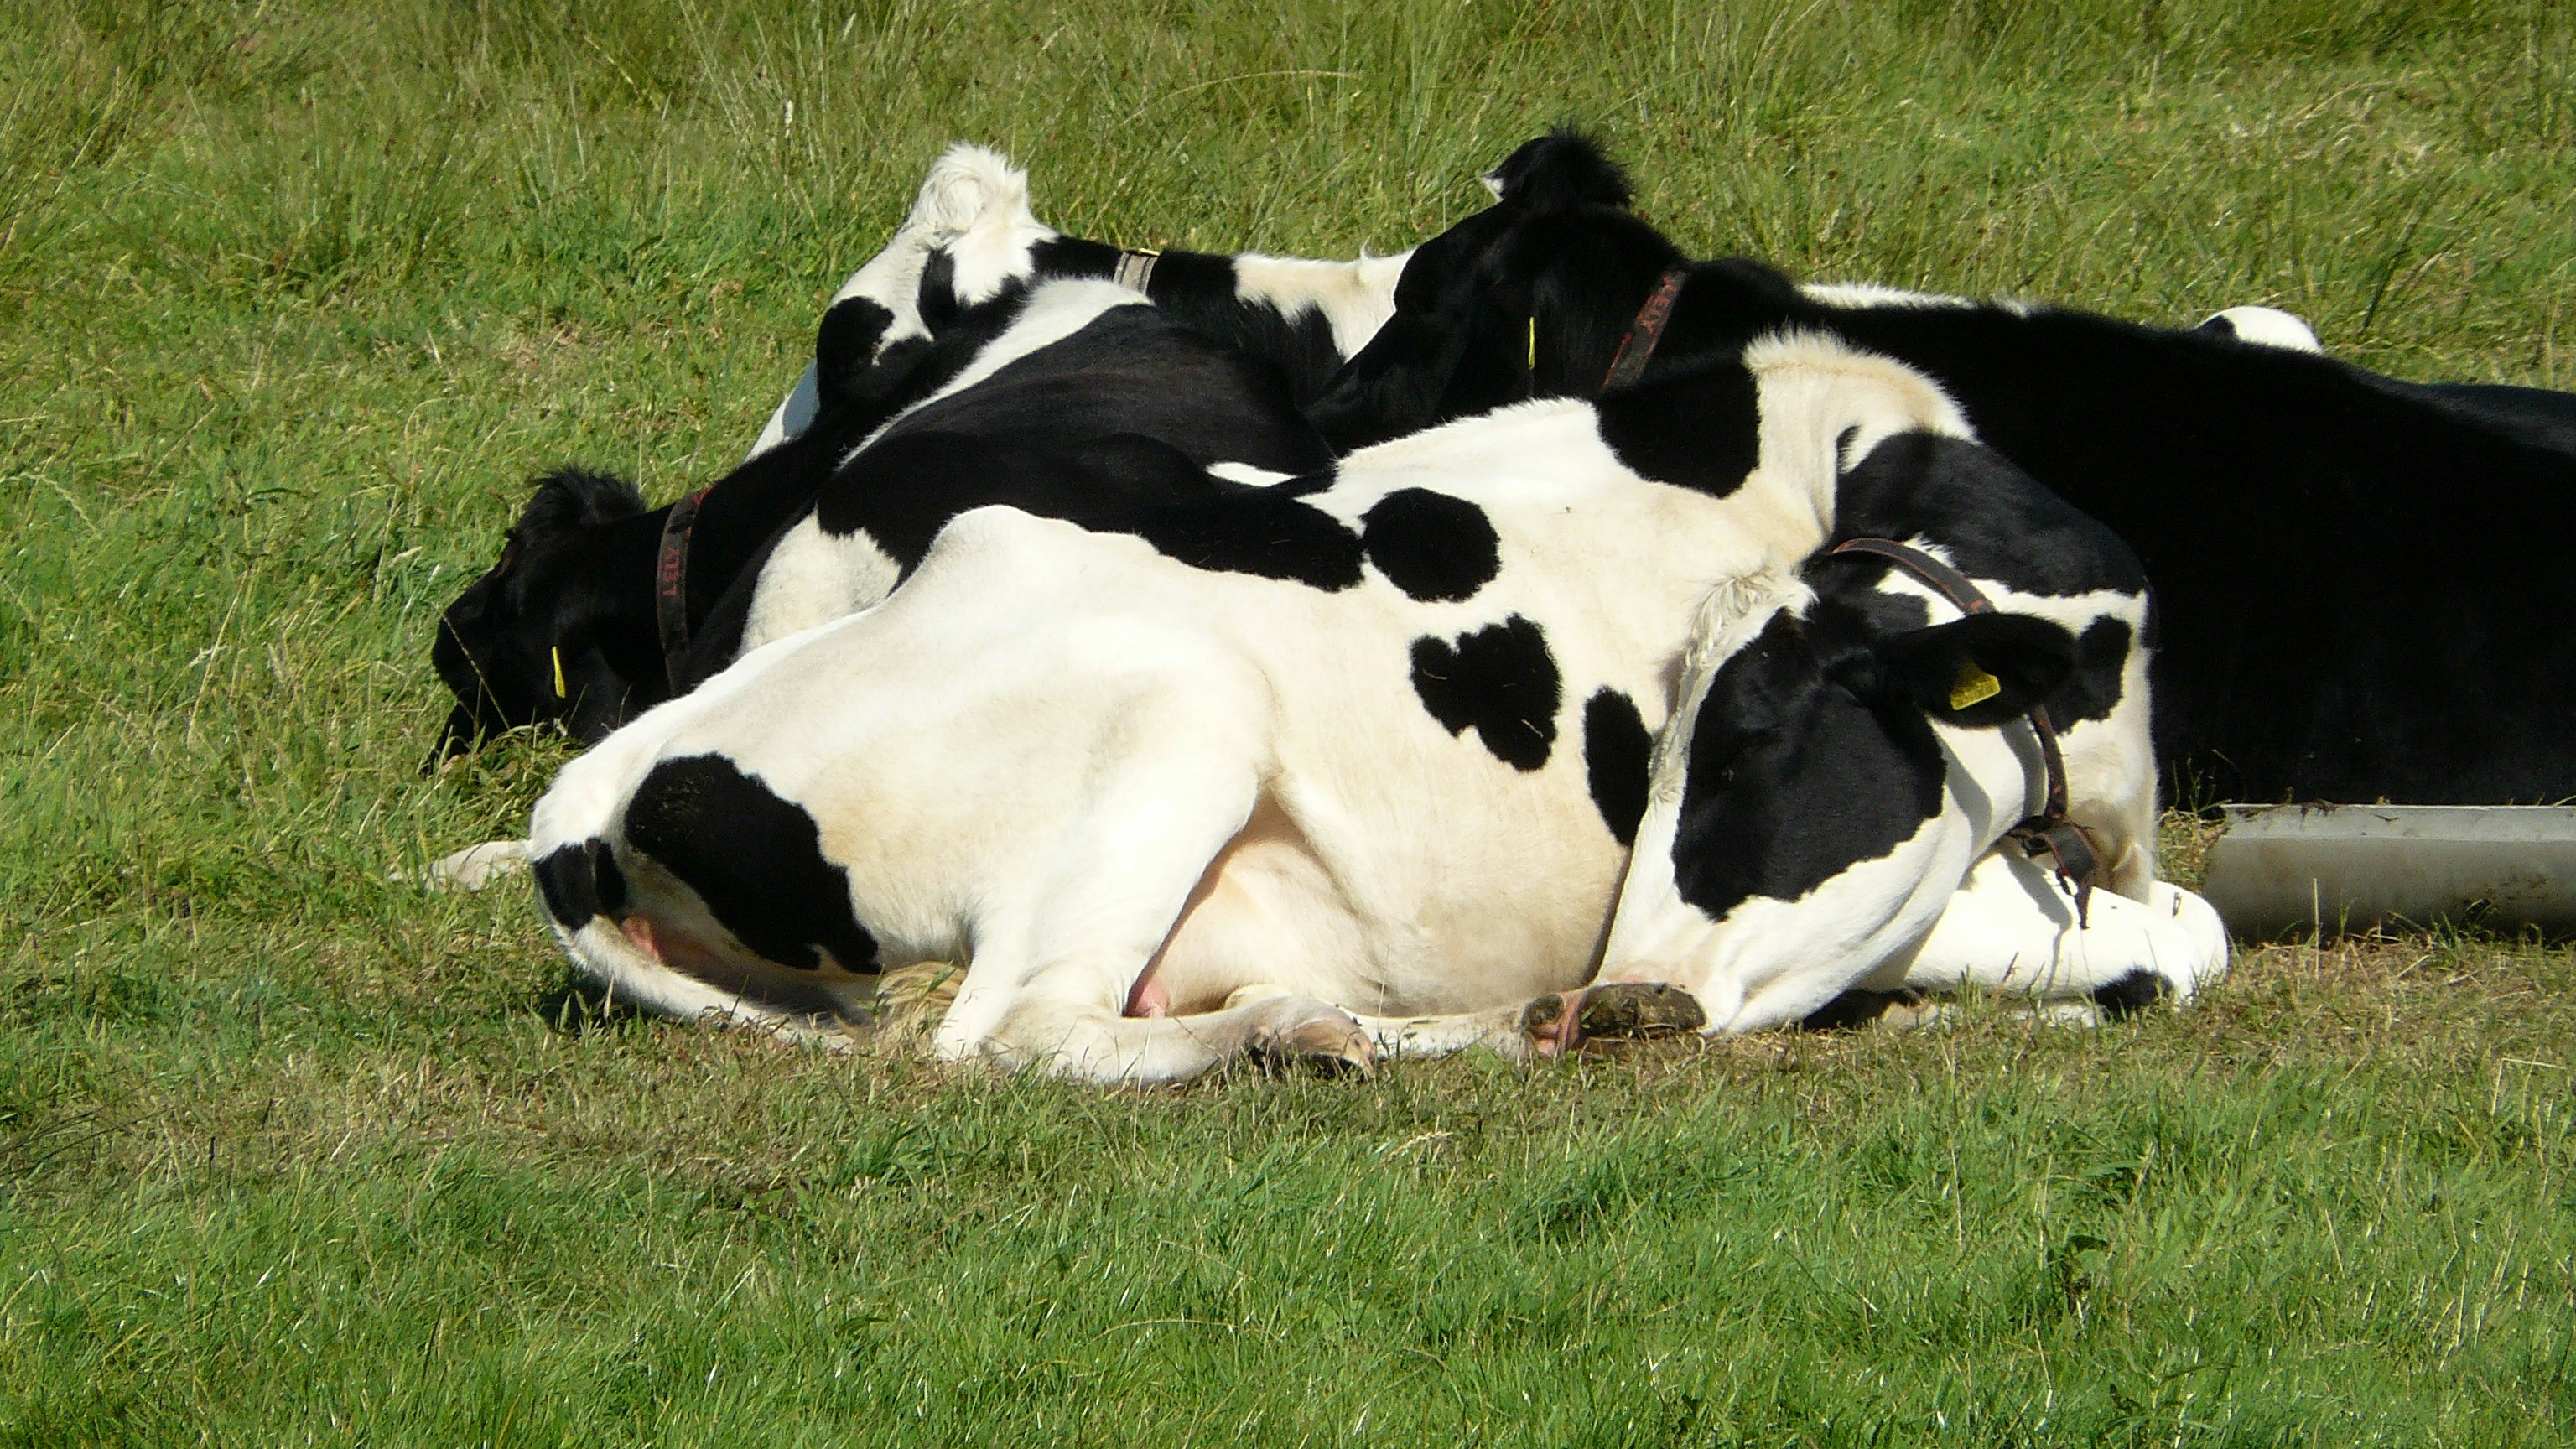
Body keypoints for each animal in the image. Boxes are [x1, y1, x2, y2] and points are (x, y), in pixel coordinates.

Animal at [522, 326, 2220, 1082]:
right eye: (1687, 750)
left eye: (1743, 750)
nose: (1625, 993)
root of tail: (590, 797)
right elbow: (2181, 943)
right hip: (1187, 714)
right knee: (1018, 1031)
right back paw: (1312, 1032)